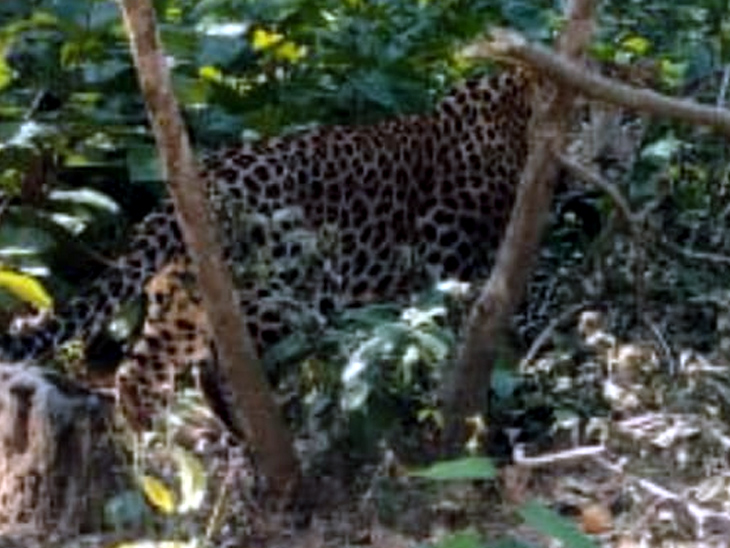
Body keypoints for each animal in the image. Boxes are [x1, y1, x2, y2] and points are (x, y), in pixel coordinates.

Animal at [1, 68, 535, 434]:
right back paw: (249, 430)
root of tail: (184, 199)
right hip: (282, 295)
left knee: (138, 371)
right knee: (222, 366)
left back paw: (149, 451)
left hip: (182, 305)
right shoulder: (451, 250)